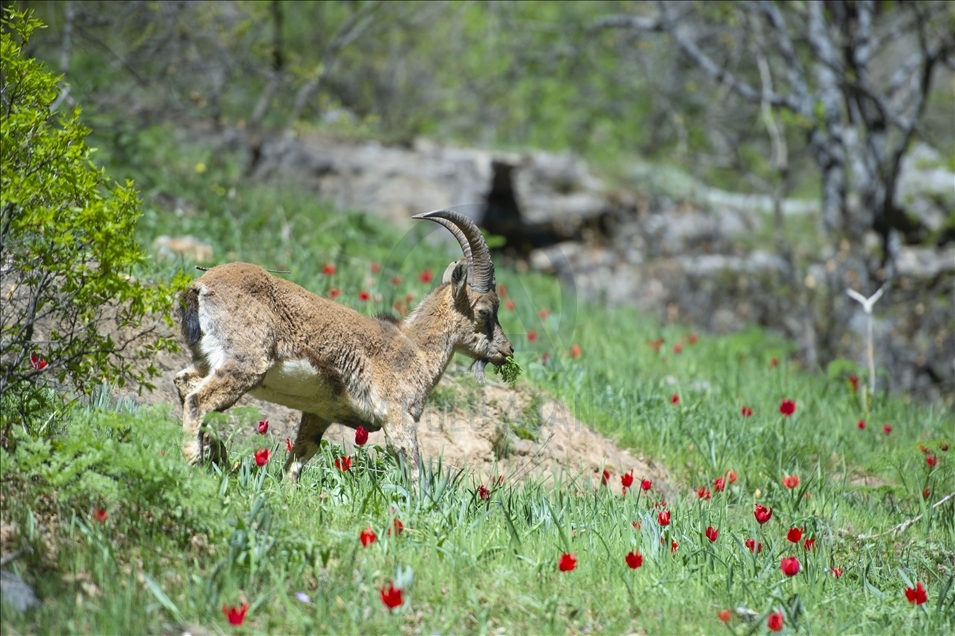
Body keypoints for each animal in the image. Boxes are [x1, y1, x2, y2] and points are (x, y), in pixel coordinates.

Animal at [174, 209, 514, 482]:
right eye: (485, 311)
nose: (507, 350)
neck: (414, 348)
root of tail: (201, 287)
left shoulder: (320, 412)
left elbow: (300, 456)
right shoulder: (398, 415)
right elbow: (413, 469)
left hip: (209, 360)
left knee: (183, 383)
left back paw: (212, 452)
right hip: (246, 363)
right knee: (198, 400)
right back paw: (193, 461)